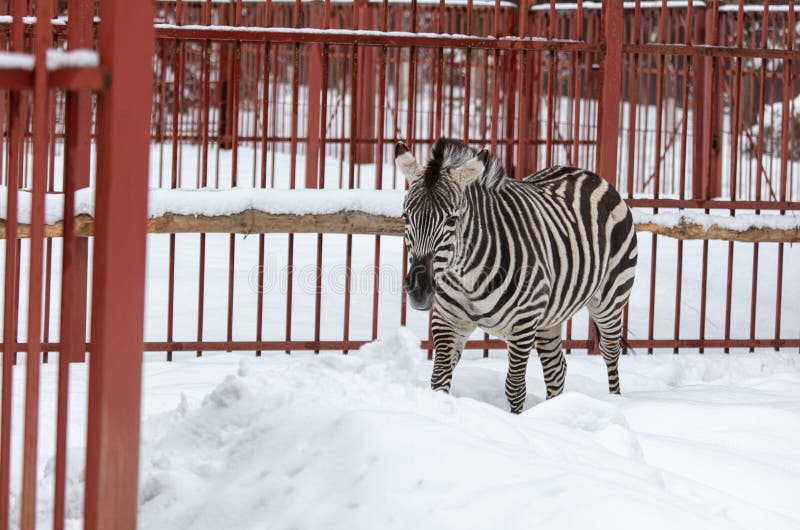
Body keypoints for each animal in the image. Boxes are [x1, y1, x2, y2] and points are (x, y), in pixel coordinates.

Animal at [396, 137, 638, 413]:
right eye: (405, 216)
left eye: (452, 219)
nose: (419, 290)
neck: (467, 278)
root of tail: (588, 173)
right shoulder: (448, 319)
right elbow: (439, 378)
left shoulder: (523, 323)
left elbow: (514, 388)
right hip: (550, 315)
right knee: (557, 367)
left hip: (611, 297)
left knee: (610, 352)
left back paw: (615, 400)